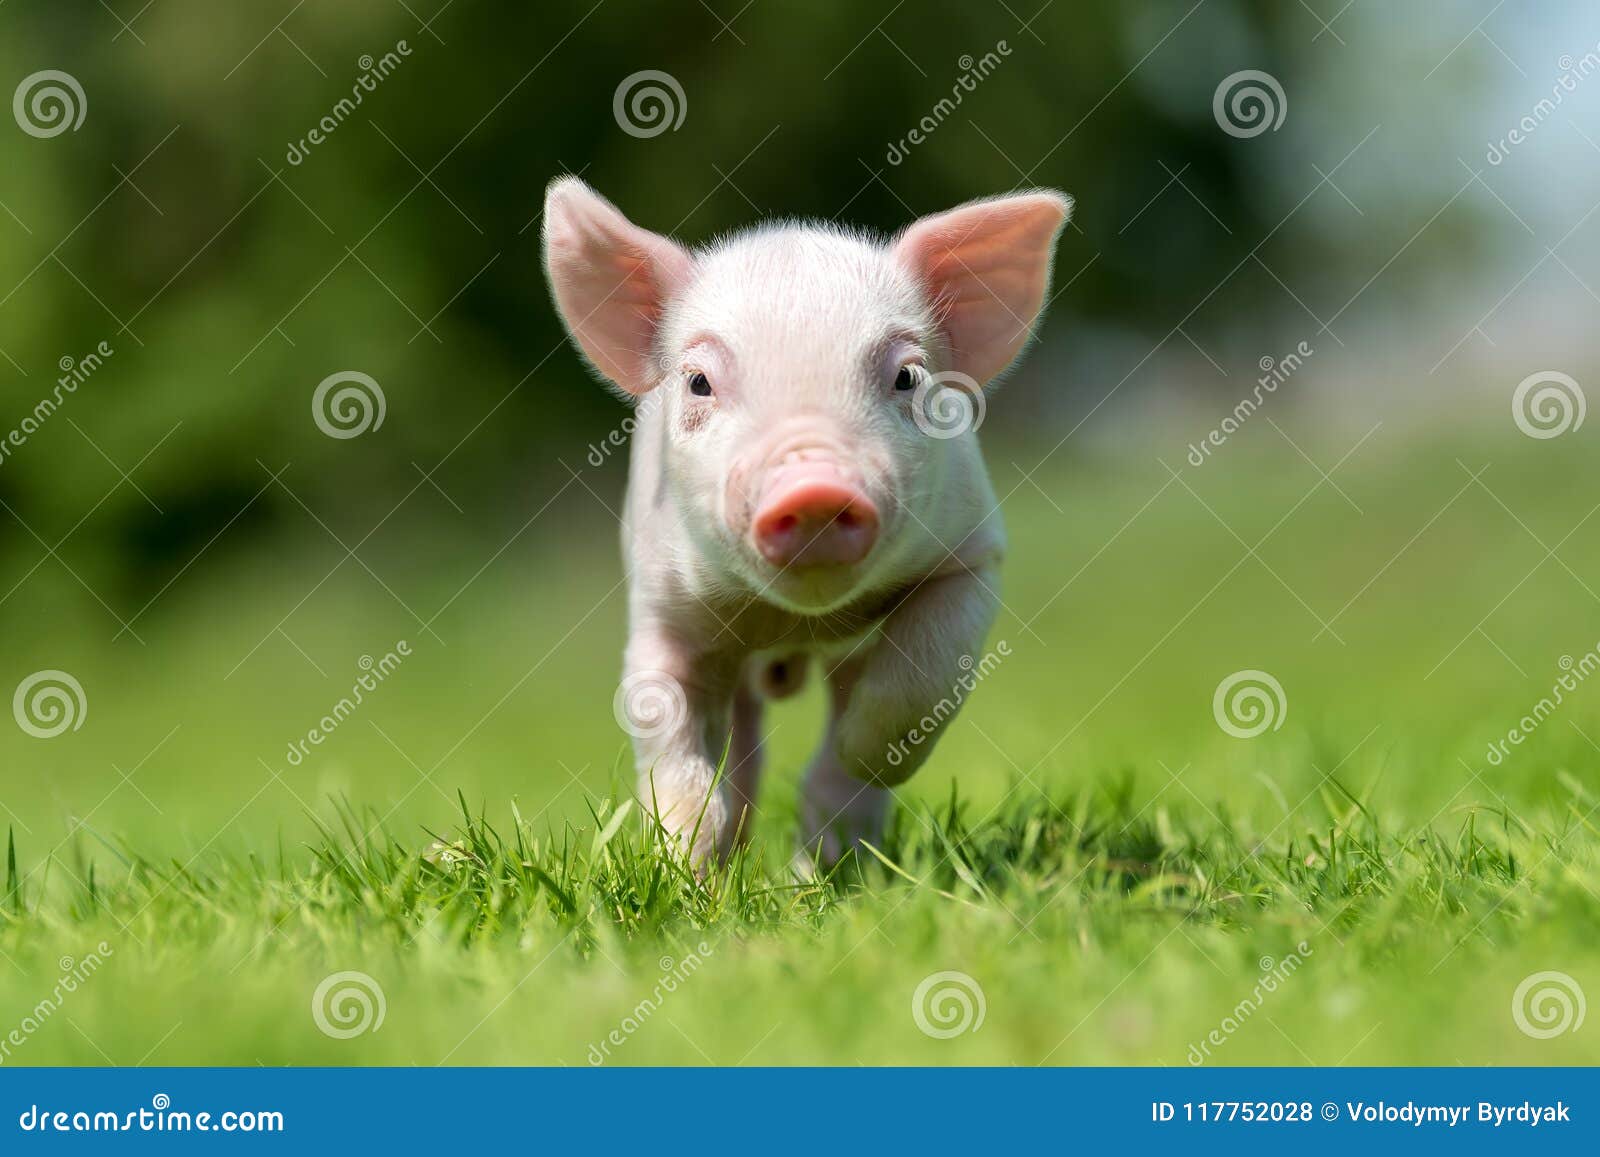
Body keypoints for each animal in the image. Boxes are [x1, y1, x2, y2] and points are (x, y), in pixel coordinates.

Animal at [542, 178, 1070, 866]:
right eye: (699, 382)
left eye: (908, 376)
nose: (815, 485)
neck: (794, 622)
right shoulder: (662, 606)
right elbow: (663, 726)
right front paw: (682, 863)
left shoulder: (972, 557)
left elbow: (926, 674)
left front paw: (862, 753)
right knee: (745, 751)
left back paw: (824, 864)